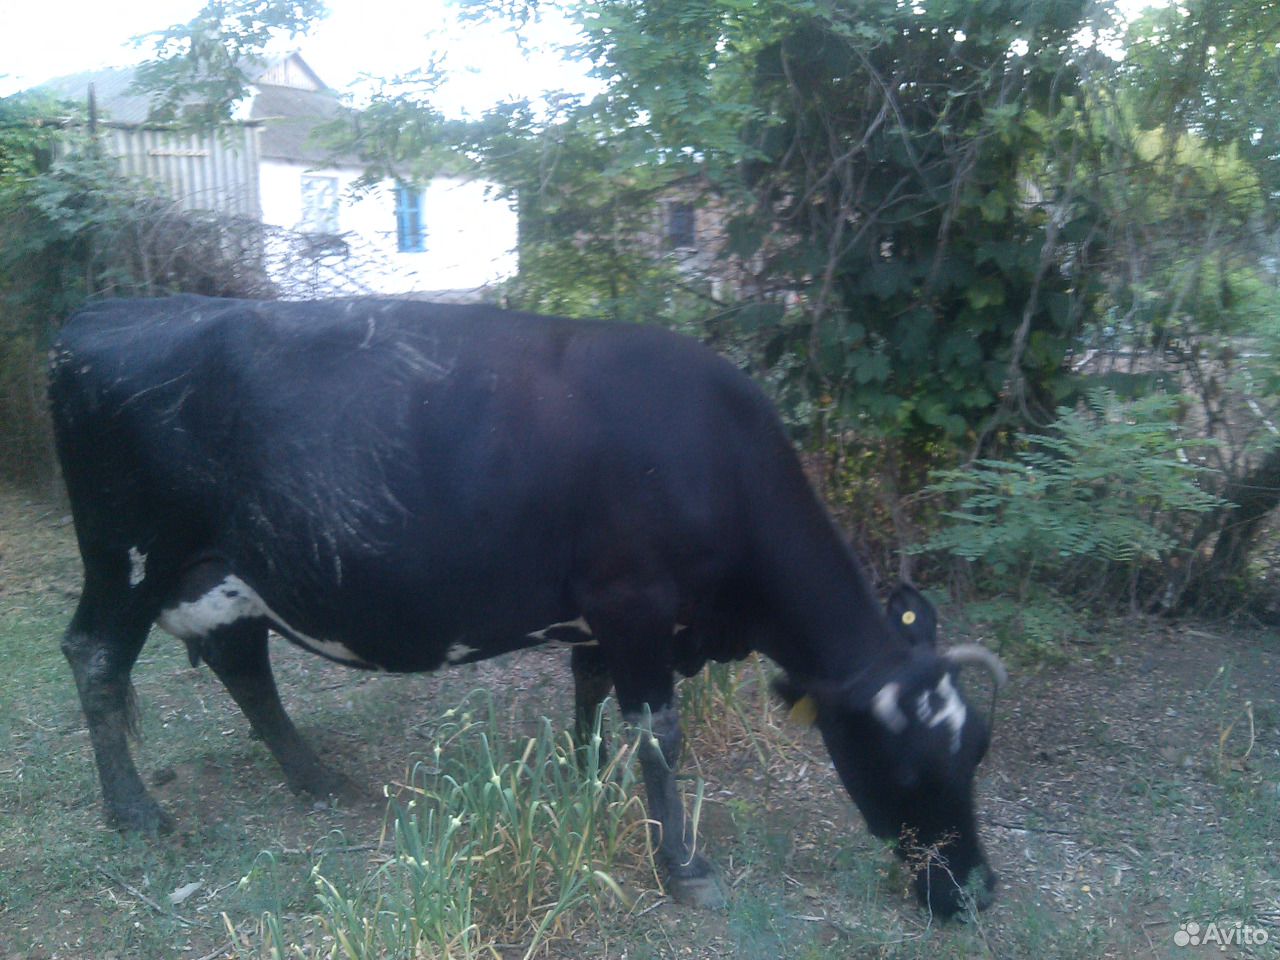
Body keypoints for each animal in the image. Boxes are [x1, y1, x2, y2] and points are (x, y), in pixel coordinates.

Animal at [49, 295, 1005, 916]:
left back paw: (316, 778)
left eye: (978, 752)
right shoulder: (635, 604)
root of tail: (100, 314)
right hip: (126, 554)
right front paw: (683, 866)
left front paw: (581, 776)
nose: (978, 891)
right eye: (912, 767)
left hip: (223, 569)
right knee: (95, 657)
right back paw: (135, 813)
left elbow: (588, 692)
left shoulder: (603, 614)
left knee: (243, 664)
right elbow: (658, 731)